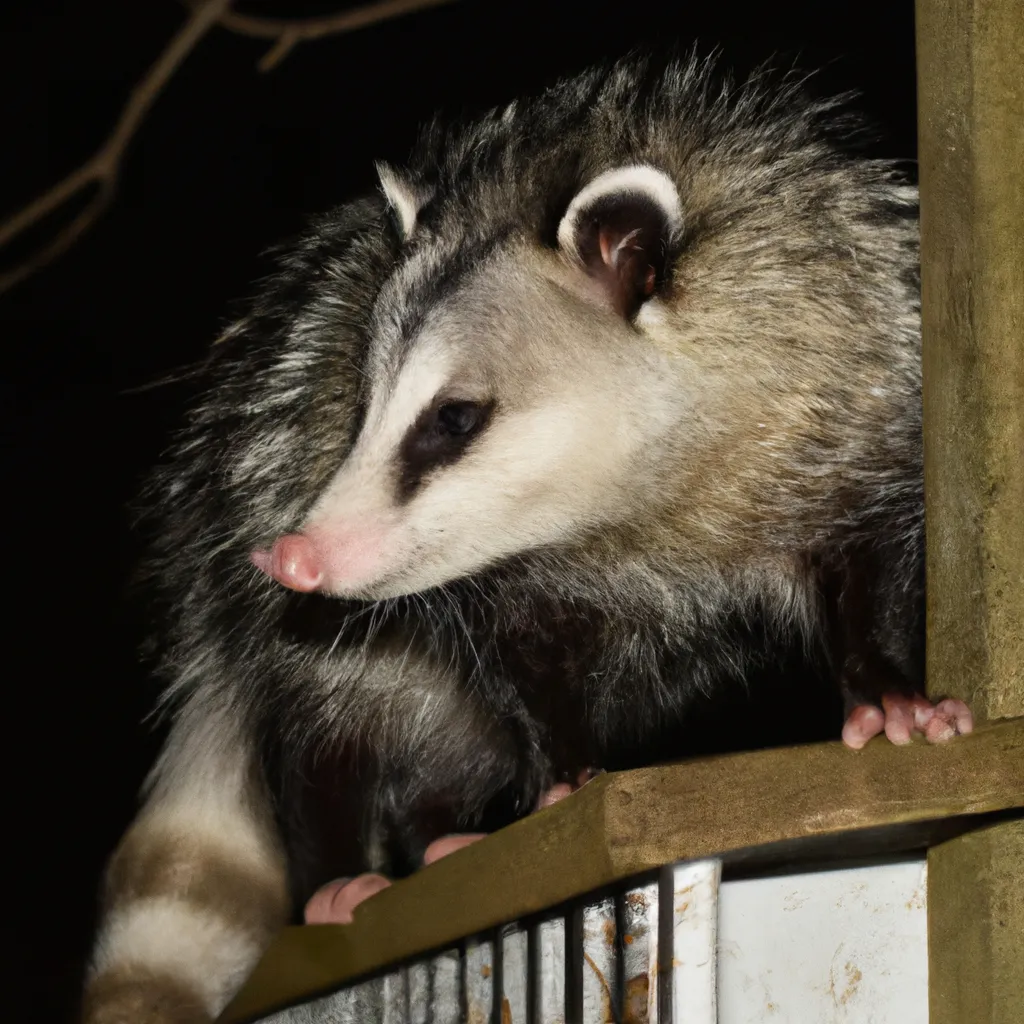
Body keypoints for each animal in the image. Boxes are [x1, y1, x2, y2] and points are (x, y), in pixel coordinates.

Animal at [82, 53, 972, 1024]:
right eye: (362, 406)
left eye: (455, 417)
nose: (291, 559)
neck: (657, 500)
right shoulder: (500, 578)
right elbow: (522, 657)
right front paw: (567, 774)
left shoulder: (853, 385)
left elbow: (869, 565)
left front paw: (890, 697)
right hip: (275, 558)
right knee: (324, 737)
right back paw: (339, 872)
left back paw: (438, 836)